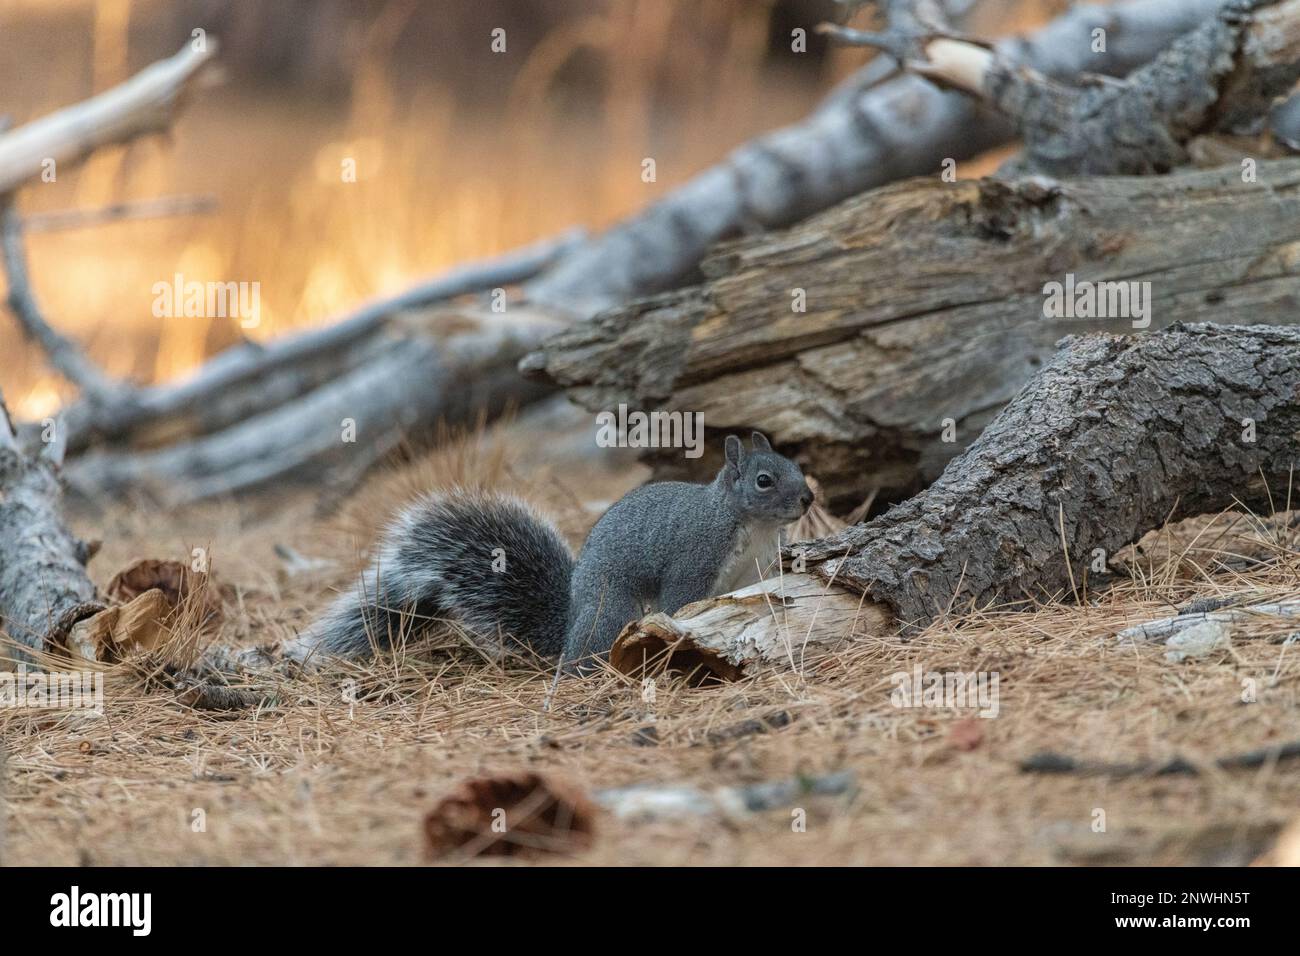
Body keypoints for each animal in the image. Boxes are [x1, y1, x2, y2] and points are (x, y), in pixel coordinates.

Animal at [285, 432, 812, 671]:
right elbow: (682, 601)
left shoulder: (755, 567)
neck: (751, 527)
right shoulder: (695, 555)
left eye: (794, 464)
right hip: (611, 611)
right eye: (765, 481)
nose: (809, 499)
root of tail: (568, 635)